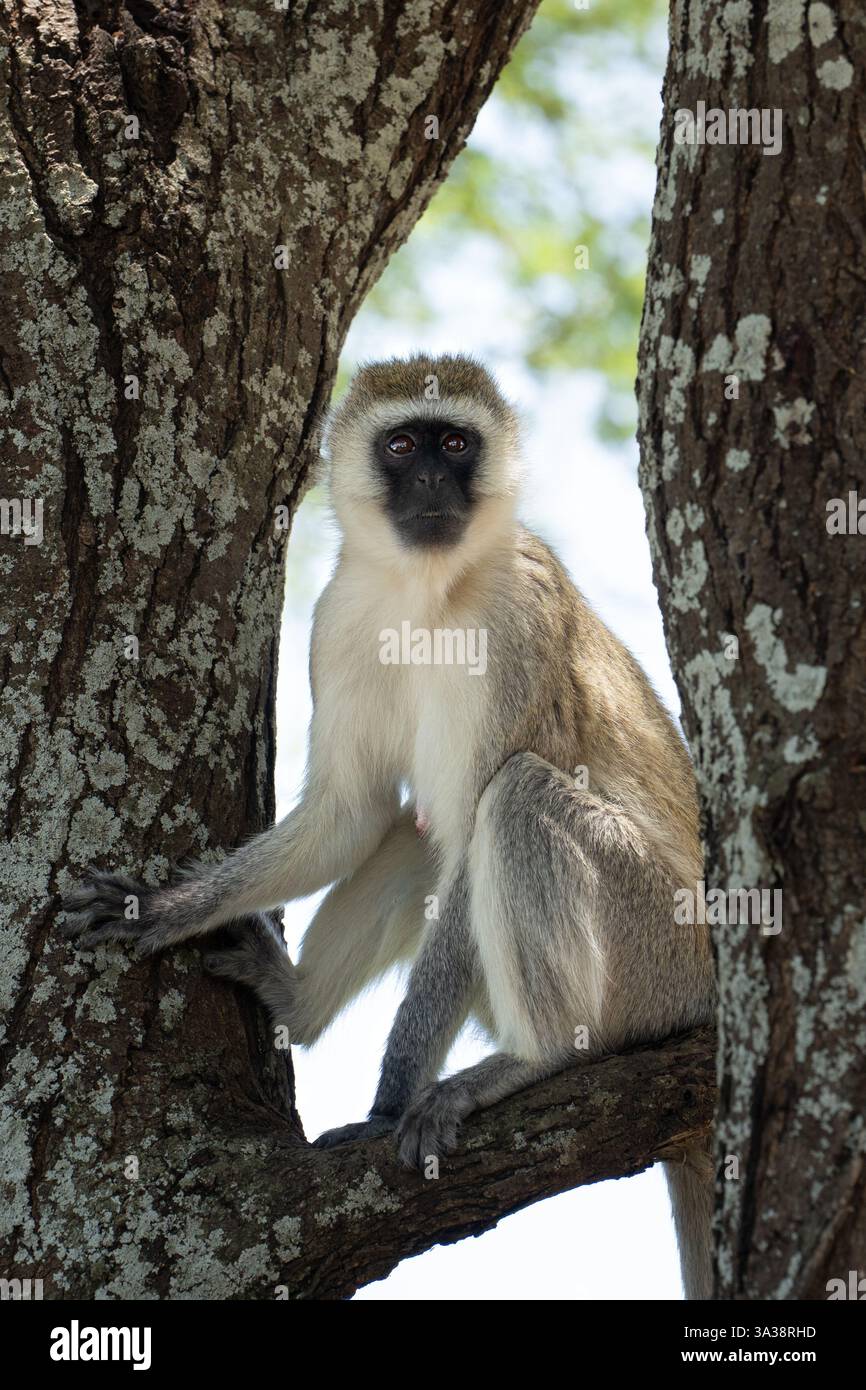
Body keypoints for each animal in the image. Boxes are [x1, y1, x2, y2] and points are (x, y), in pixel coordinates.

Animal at [63, 353, 716, 1299]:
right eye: (404, 445)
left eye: (457, 443)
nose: (436, 484)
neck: (427, 594)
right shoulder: (341, 615)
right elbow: (354, 811)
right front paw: (165, 908)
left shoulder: (516, 622)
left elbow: (475, 830)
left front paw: (388, 1105)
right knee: (416, 831)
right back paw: (296, 1000)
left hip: (659, 954)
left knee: (513, 797)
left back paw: (541, 1058)